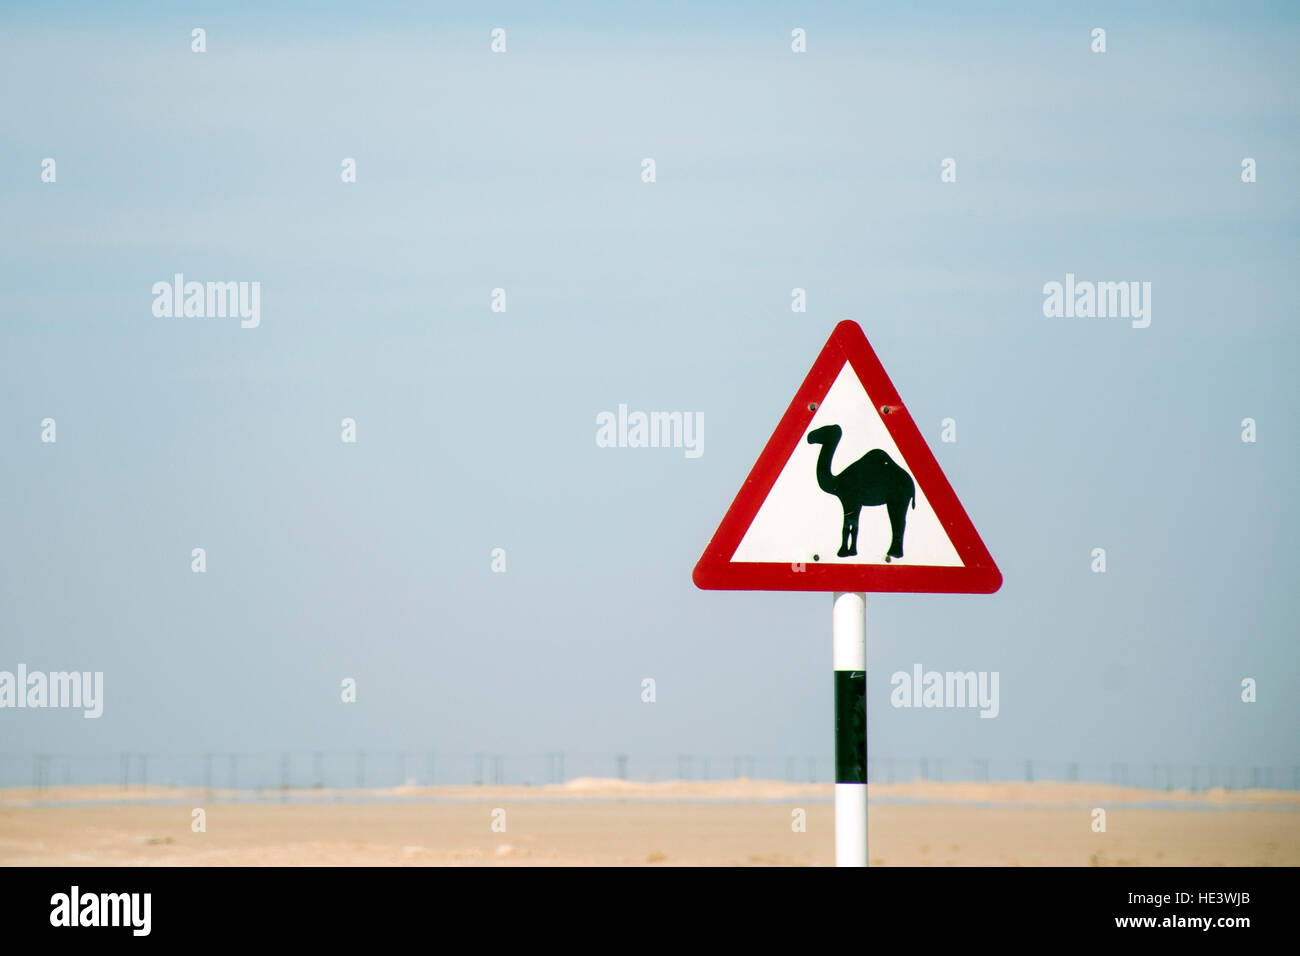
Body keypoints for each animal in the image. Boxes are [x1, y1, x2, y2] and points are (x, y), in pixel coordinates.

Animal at [806, 424, 915, 560]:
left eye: (825, 429)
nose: (809, 436)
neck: (837, 481)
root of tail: (912, 484)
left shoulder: (847, 500)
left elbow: (846, 527)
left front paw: (842, 553)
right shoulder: (856, 504)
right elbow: (855, 527)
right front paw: (852, 552)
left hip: (899, 499)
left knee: (898, 522)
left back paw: (895, 553)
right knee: (898, 522)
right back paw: (893, 553)